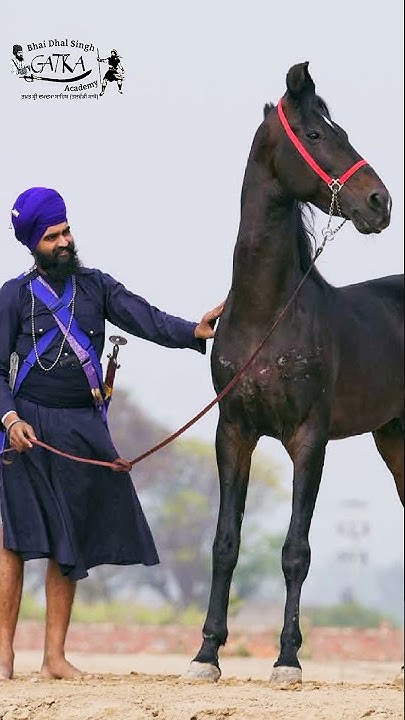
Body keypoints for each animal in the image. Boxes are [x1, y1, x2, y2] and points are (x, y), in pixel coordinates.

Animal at [186, 61, 404, 686]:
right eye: (315, 134)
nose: (379, 202)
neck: (269, 313)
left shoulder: (309, 437)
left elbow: (295, 551)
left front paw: (287, 659)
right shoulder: (234, 431)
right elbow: (225, 542)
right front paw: (207, 654)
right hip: (394, 439)